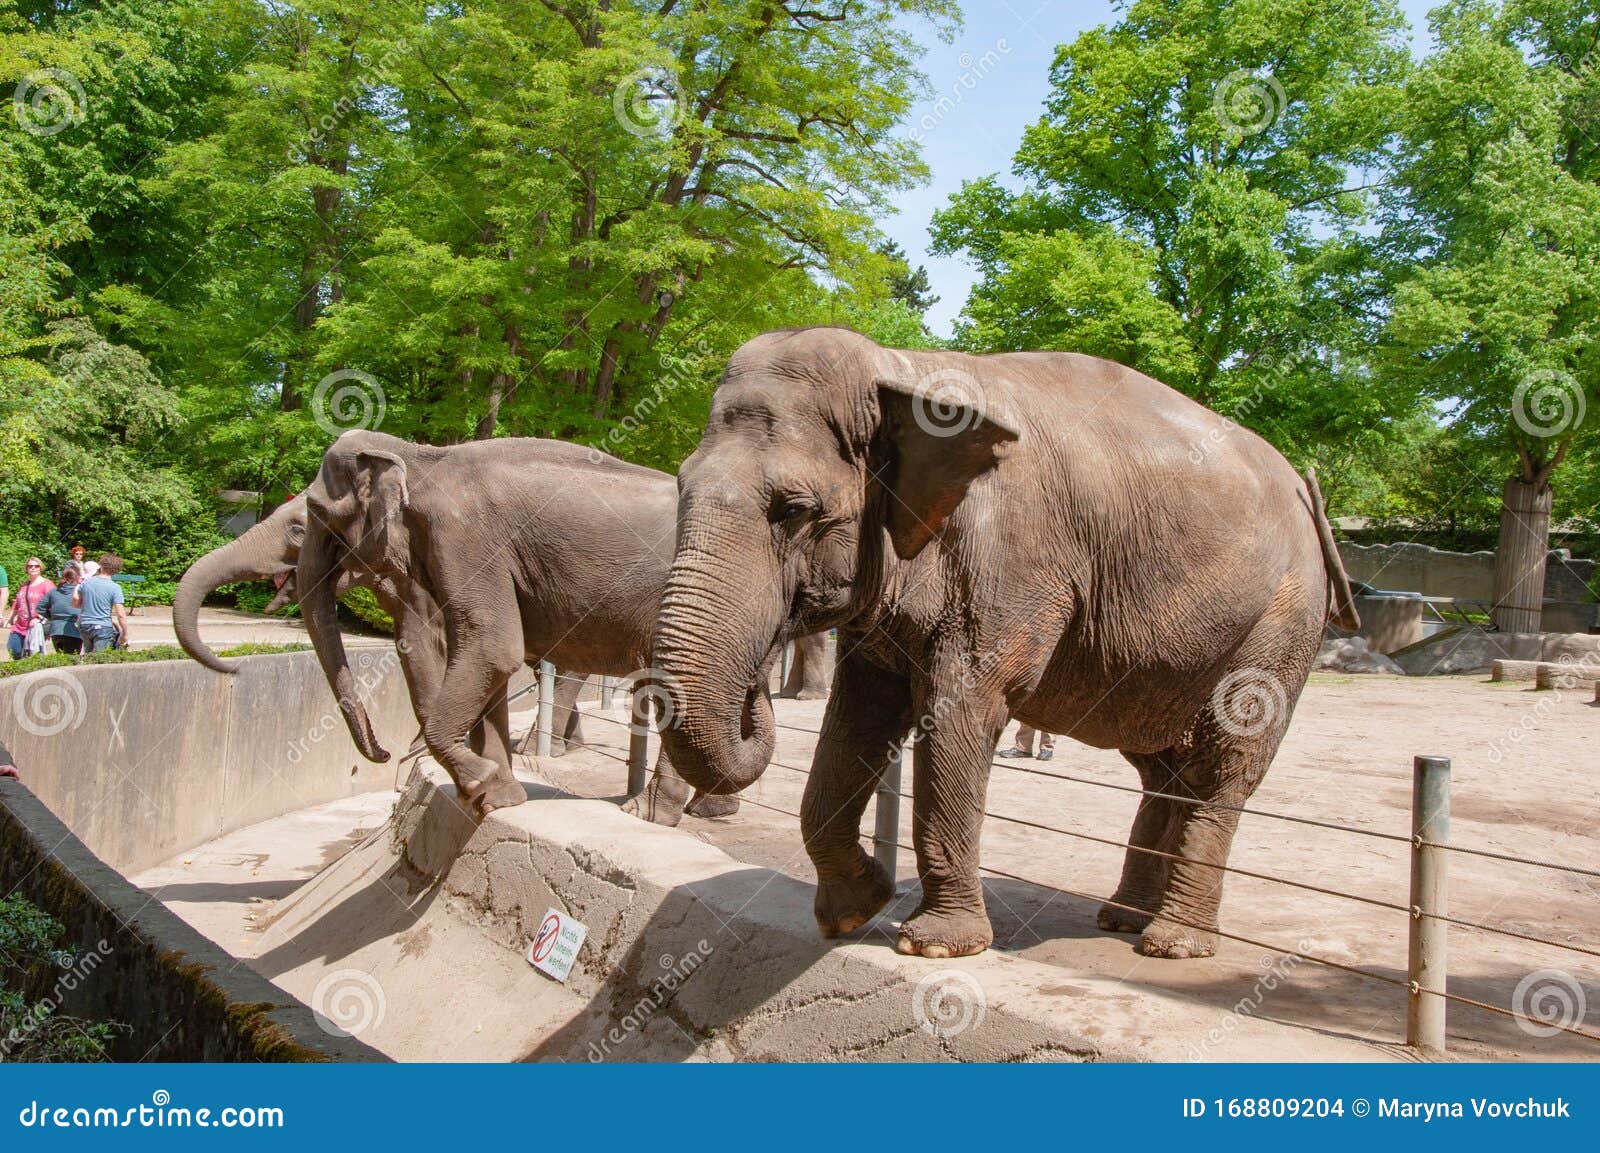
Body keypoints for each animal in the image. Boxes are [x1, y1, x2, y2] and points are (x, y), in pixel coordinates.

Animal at [651, 327, 1359, 960]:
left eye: (794, 510)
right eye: (680, 486)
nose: (756, 691)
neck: (903, 370)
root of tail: (1308, 492)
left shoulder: (1010, 563)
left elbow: (960, 710)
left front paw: (937, 946)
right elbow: (859, 715)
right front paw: (854, 913)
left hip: (1283, 616)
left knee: (1225, 760)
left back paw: (1173, 944)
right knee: (1161, 766)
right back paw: (1122, 921)